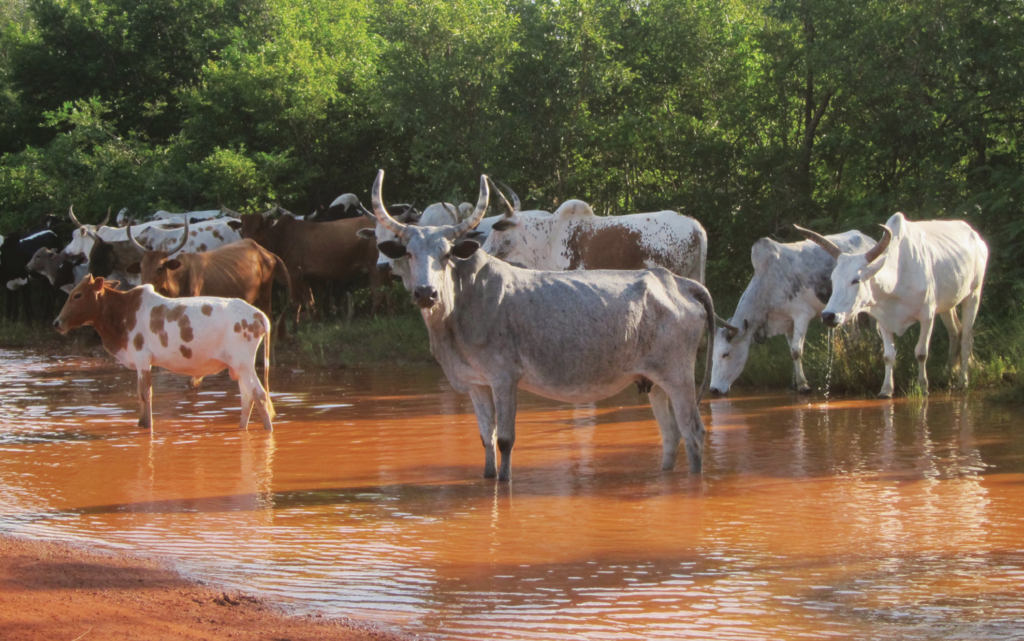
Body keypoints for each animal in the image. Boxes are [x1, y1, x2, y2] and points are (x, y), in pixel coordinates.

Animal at [53, 275, 274, 431]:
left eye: (77, 295)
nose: (57, 322)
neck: (121, 313)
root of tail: (257, 314)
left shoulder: (142, 359)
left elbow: (144, 393)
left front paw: (147, 424)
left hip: (244, 363)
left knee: (259, 394)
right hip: (238, 366)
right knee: (247, 397)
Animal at [237, 208, 389, 325]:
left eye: (258, 228)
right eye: (242, 229)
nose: (246, 243)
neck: (280, 238)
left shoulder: (294, 275)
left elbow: (296, 304)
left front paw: (295, 329)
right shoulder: (304, 278)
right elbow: (310, 302)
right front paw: (316, 323)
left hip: (376, 268)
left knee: (379, 294)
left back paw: (372, 317)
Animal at [709, 231, 875, 395]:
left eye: (726, 353)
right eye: (712, 356)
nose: (714, 389)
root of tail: (868, 238)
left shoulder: (802, 315)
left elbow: (796, 351)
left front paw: (803, 385)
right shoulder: (787, 322)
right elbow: (791, 351)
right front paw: (794, 383)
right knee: (854, 334)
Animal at [796, 213, 988, 397]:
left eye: (856, 280)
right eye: (833, 279)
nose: (828, 316)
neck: (896, 279)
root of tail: (976, 237)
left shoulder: (927, 316)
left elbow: (921, 353)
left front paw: (923, 386)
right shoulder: (884, 320)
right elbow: (888, 356)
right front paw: (886, 389)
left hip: (973, 294)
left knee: (966, 338)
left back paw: (963, 381)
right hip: (947, 304)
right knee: (955, 332)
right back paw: (948, 372)